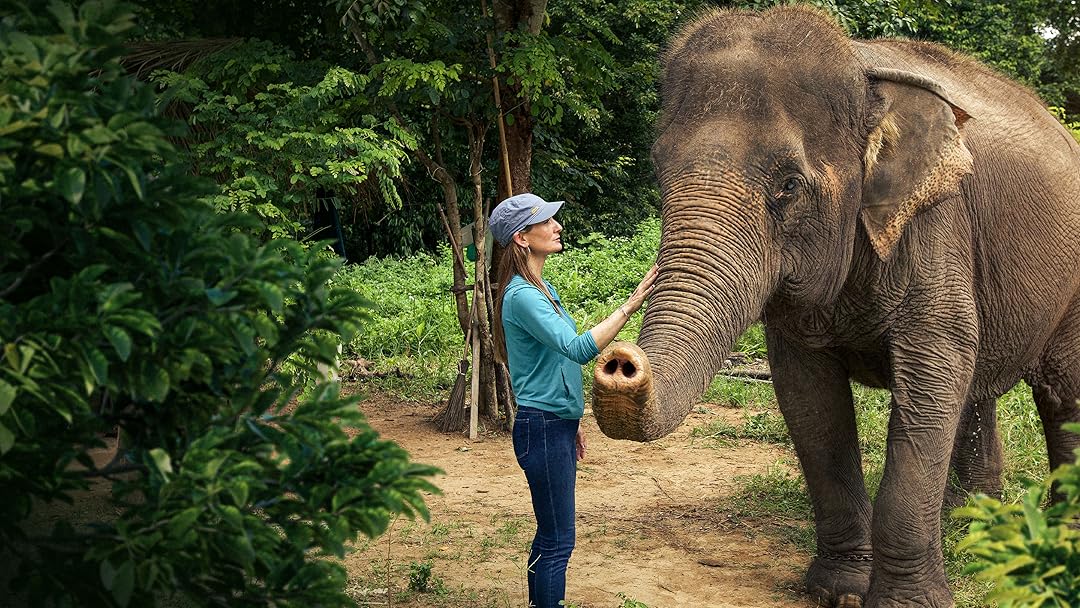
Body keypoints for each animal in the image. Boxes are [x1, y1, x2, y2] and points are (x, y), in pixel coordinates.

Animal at [591, 5, 1080, 608]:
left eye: (789, 186)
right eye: (659, 171)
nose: (620, 362)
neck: (862, 74)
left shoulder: (936, 226)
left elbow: (934, 373)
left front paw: (903, 603)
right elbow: (811, 400)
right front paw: (840, 591)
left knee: (1061, 391)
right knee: (977, 388)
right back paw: (971, 525)